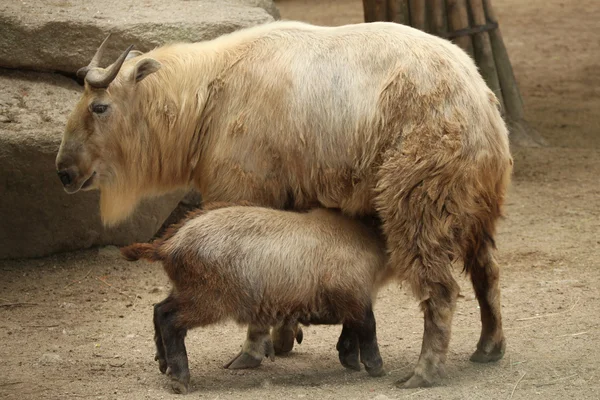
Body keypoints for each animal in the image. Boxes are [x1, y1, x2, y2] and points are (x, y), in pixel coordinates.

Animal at [122, 203, 394, 394]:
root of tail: (168, 245)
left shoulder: (353, 299)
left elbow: (352, 328)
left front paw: (350, 360)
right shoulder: (353, 295)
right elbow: (368, 326)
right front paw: (376, 367)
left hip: (186, 292)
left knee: (159, 310)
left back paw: (163, 363)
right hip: (208, 301)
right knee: (170, 320)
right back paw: (180, 378)